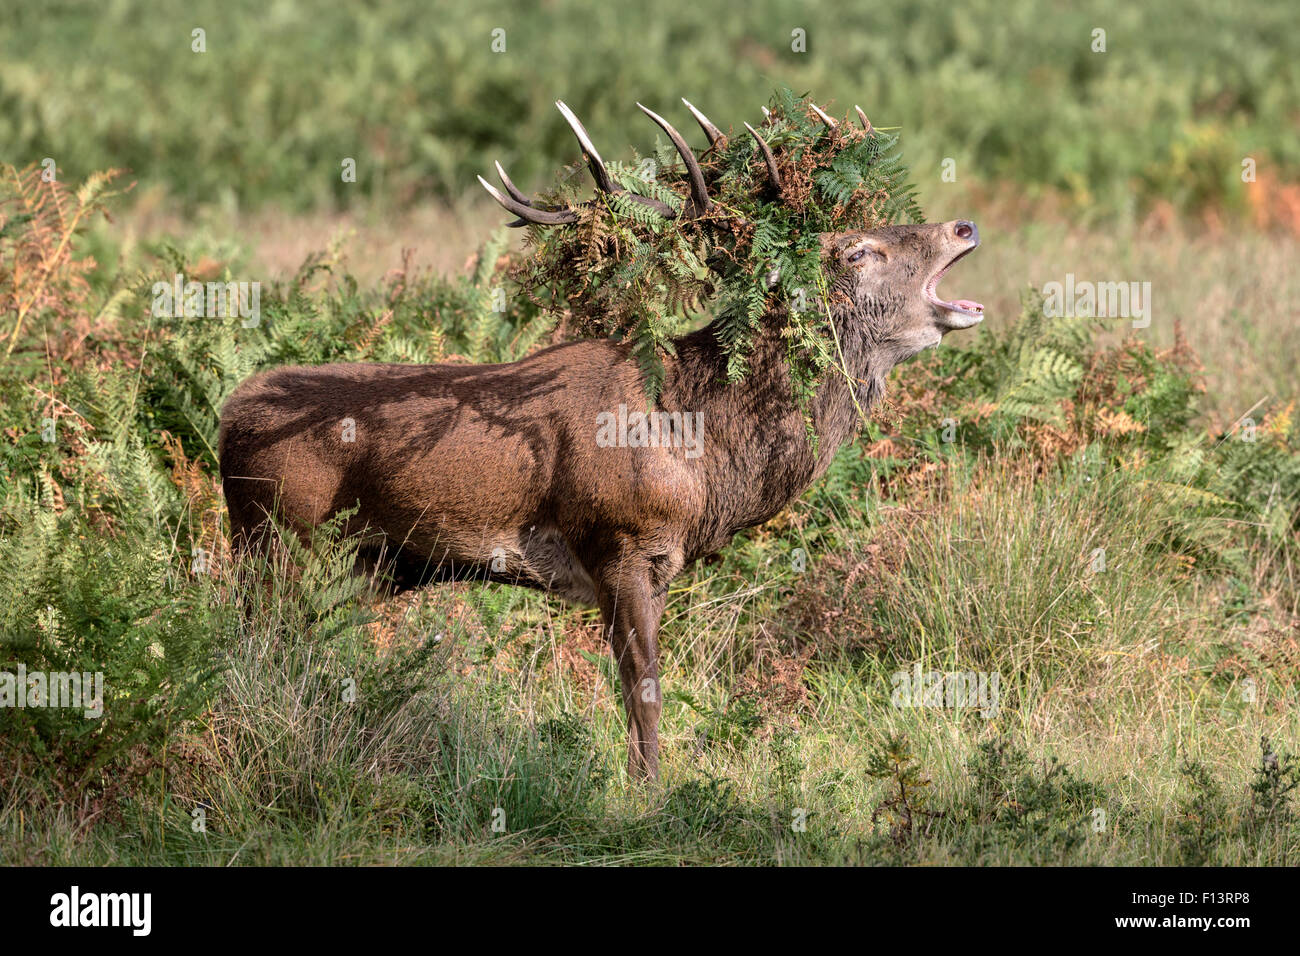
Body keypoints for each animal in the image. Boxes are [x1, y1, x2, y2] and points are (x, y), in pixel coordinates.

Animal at [218, 99, 984, 780]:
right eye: (858, 251)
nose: (963, 225)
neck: (703, 455)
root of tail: (228, 417)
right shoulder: (620, 538)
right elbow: (643, 687)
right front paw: (648, 794)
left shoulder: (659, 561)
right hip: (273, 538)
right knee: (252, 645)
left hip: (346, 565)